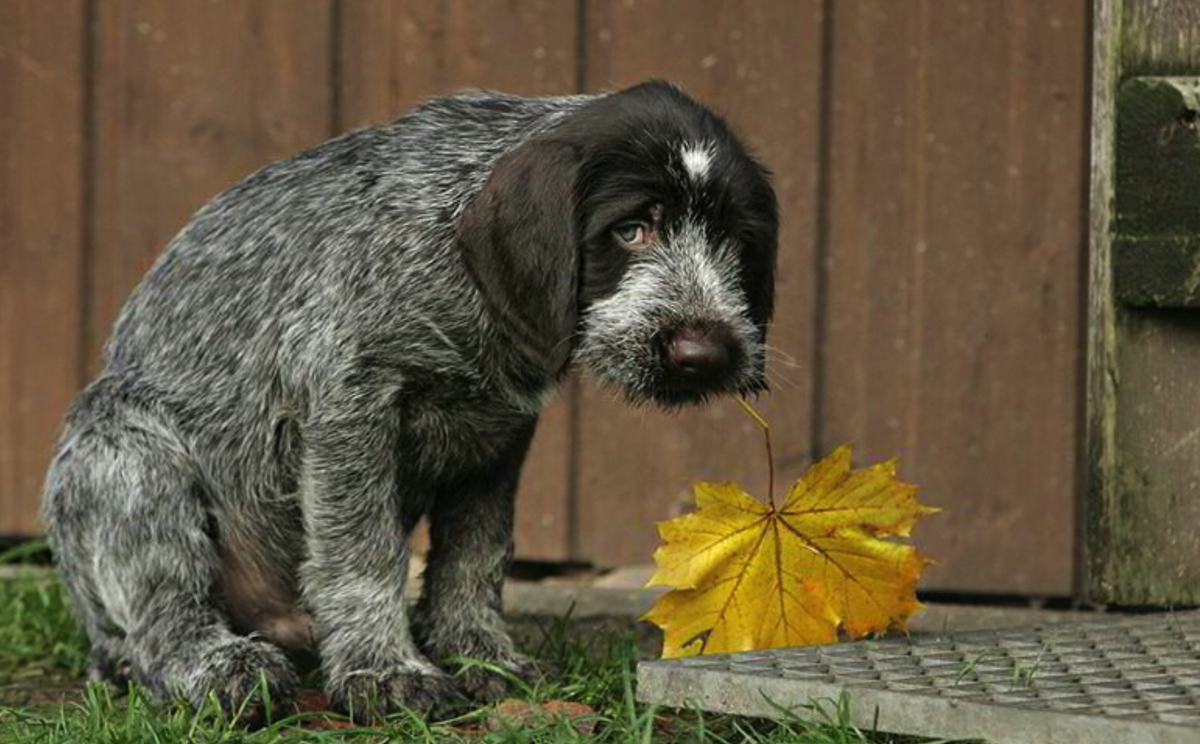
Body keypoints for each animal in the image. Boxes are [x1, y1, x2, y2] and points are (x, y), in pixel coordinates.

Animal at [39, 79, 777, 720]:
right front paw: (384, 670)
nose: (706, 355)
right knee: (159, 619)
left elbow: (475, 556)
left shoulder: (499, 432)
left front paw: (480, 656)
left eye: (735, 241)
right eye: (631, 231)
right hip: (127, 454)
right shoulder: (351, 407)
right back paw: (217, 666)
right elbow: (362, 555)